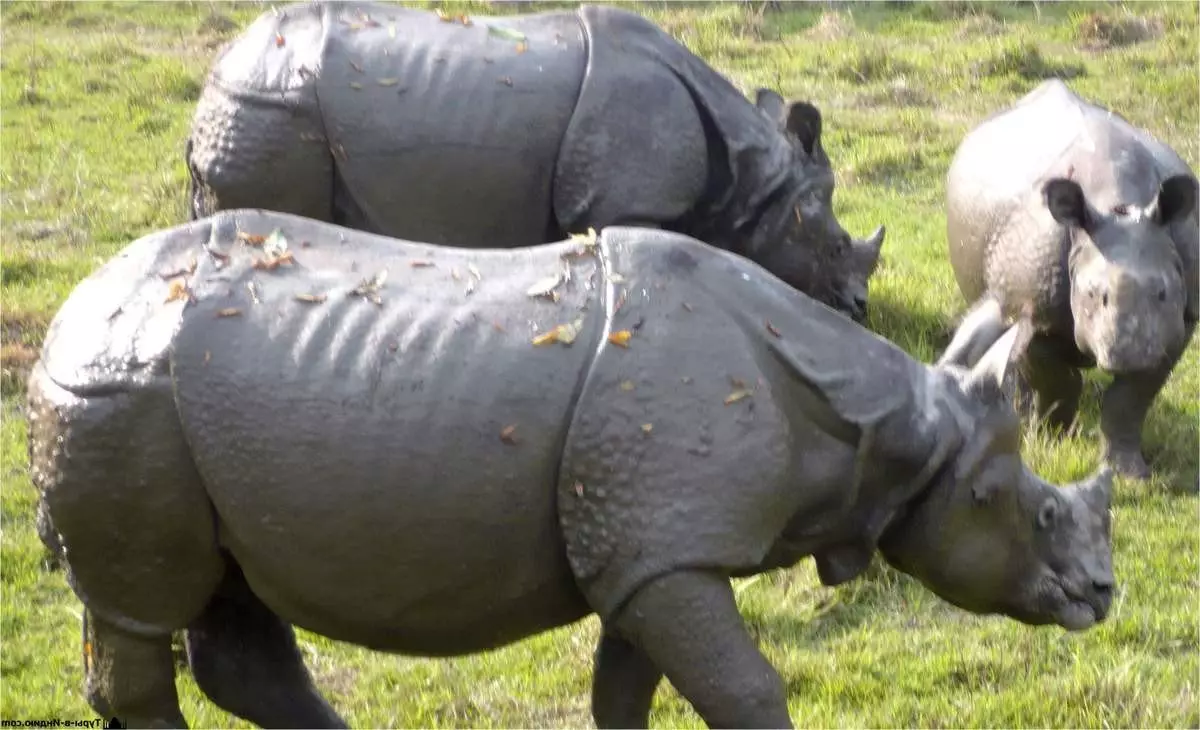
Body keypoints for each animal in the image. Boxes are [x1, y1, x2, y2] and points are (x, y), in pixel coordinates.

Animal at [28, 210, 1113, 730]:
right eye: (1003, 505)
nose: (1102, 594)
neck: (888, 434)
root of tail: (71, 311)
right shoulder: (662, 545)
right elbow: (748, 691)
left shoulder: (651, 546)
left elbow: (626, 693)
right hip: (122, 401)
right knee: (143, 611)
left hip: (190, 415)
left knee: (231, 603)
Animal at [182, 0, 888, 321]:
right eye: (832, 246)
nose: (858, 310)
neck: (749, 176)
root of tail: (220, 67)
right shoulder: (626, 201)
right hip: (273, 112)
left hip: (259, 108)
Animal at [940, 78, 1195, 480]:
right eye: (1092, 294)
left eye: (1162, 293)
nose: (1128, 354)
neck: (1119, 205)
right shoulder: (1034, 306)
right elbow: (1055, 377)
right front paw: (1050, 441)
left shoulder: (1180, 320)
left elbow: (1130, 399)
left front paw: (1129, 475)